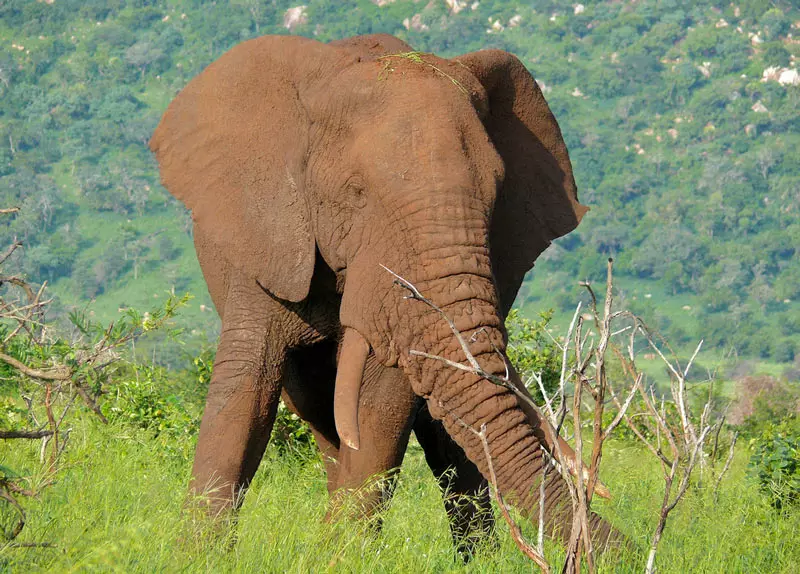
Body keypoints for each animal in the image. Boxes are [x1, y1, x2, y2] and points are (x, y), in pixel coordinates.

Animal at [148, 33, 612, 556]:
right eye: (355, 193)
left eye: (496, 195)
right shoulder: (269, 237)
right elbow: (246, 380)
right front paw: (197, 554)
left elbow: (386, 397)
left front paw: (339, 556)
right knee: (321, 410)